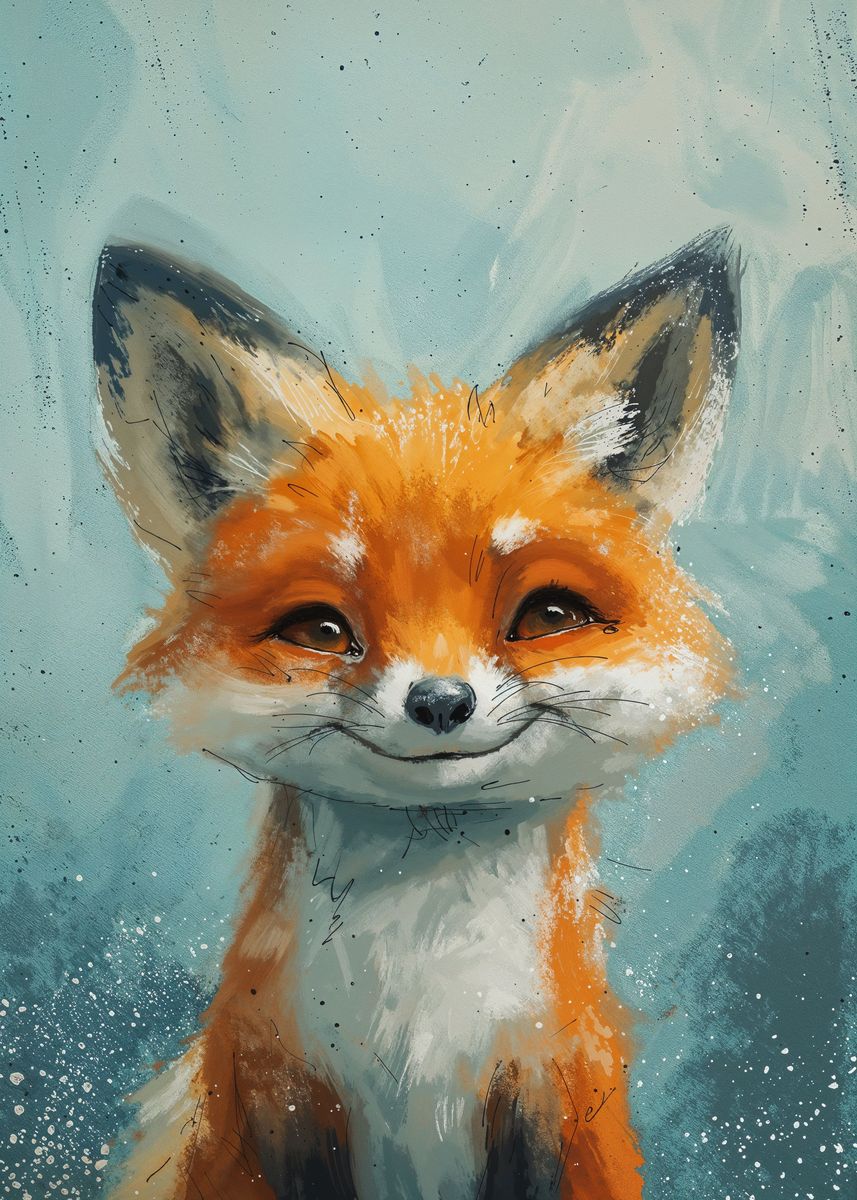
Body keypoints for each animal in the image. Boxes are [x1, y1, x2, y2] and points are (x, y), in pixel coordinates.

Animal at [92, 228, 740, 1200]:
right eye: (321, 630)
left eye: (546, 615)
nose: (439, 701)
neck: (420, 1017)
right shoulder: (276, 1092)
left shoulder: (555, 1094)